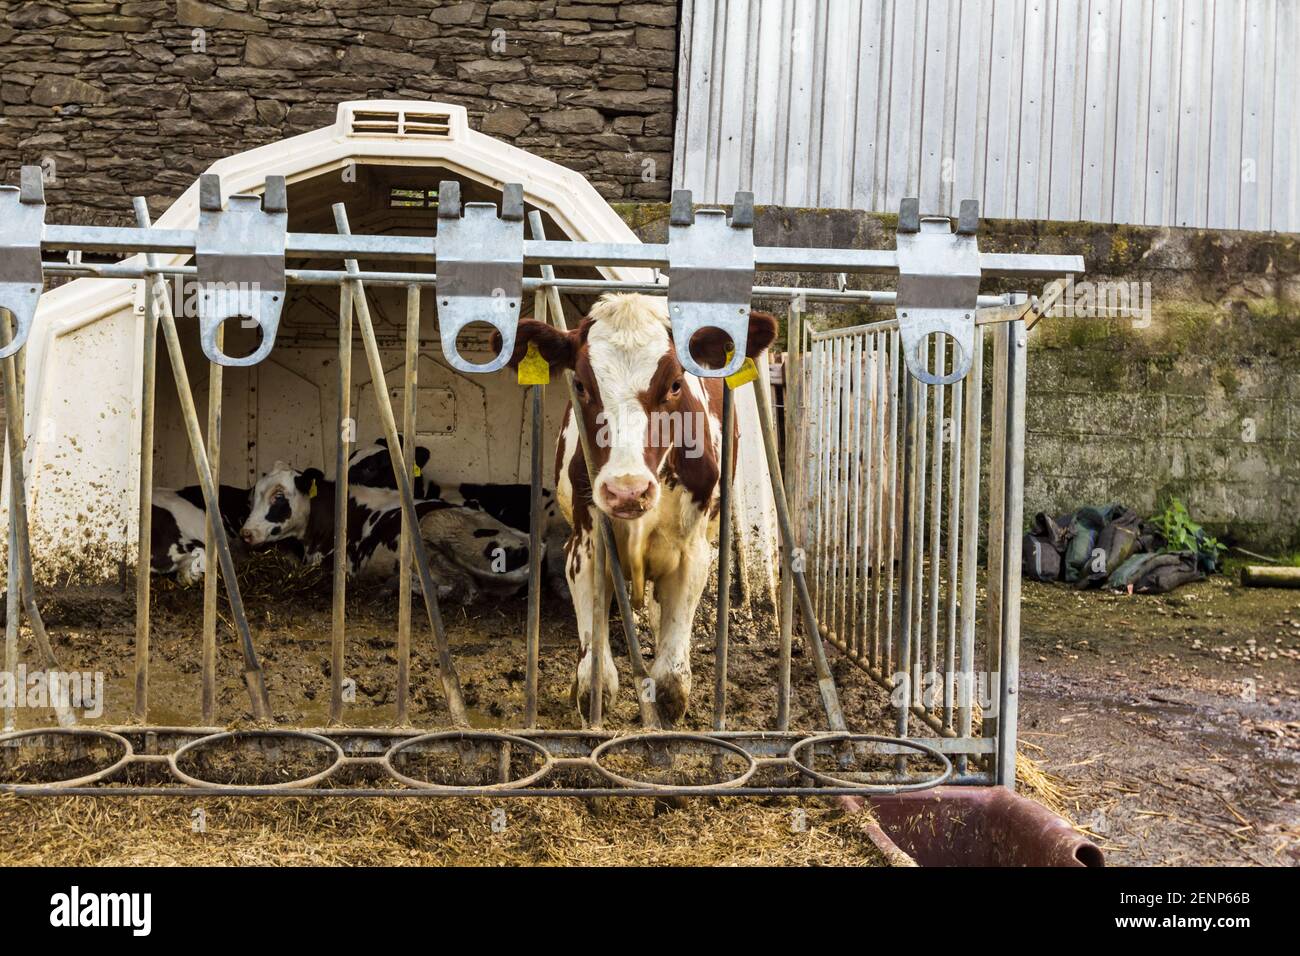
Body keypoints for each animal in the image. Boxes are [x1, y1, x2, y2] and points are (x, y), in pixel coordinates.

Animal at [501, 293, 778, 726]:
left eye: (676, 384)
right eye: (580, 384)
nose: (626, 491)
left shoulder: (692, 552)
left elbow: (671, 683)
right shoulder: (585, 547)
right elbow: (594, 679)